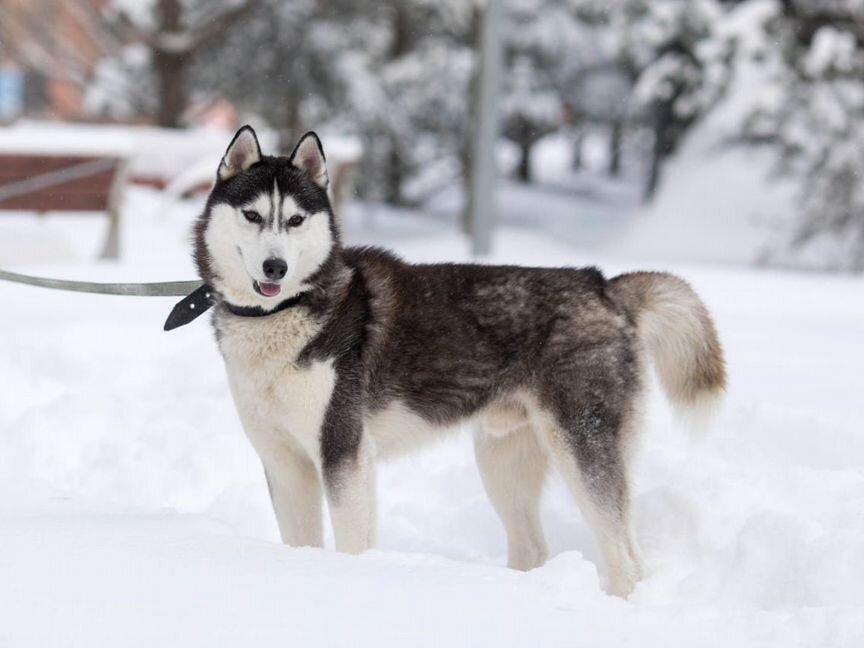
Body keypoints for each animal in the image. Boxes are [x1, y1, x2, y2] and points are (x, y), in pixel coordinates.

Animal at [192, 126, 724, 596]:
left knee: (627, 560)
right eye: (252, 215)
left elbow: (351, 544)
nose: (275, 267)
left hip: (583, 447)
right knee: (533, 547)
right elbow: (299, 541)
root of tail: (604, 286)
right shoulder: (284, 462)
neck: (285, 312)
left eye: (296, 220)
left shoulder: (343, 452)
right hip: (502, 459)